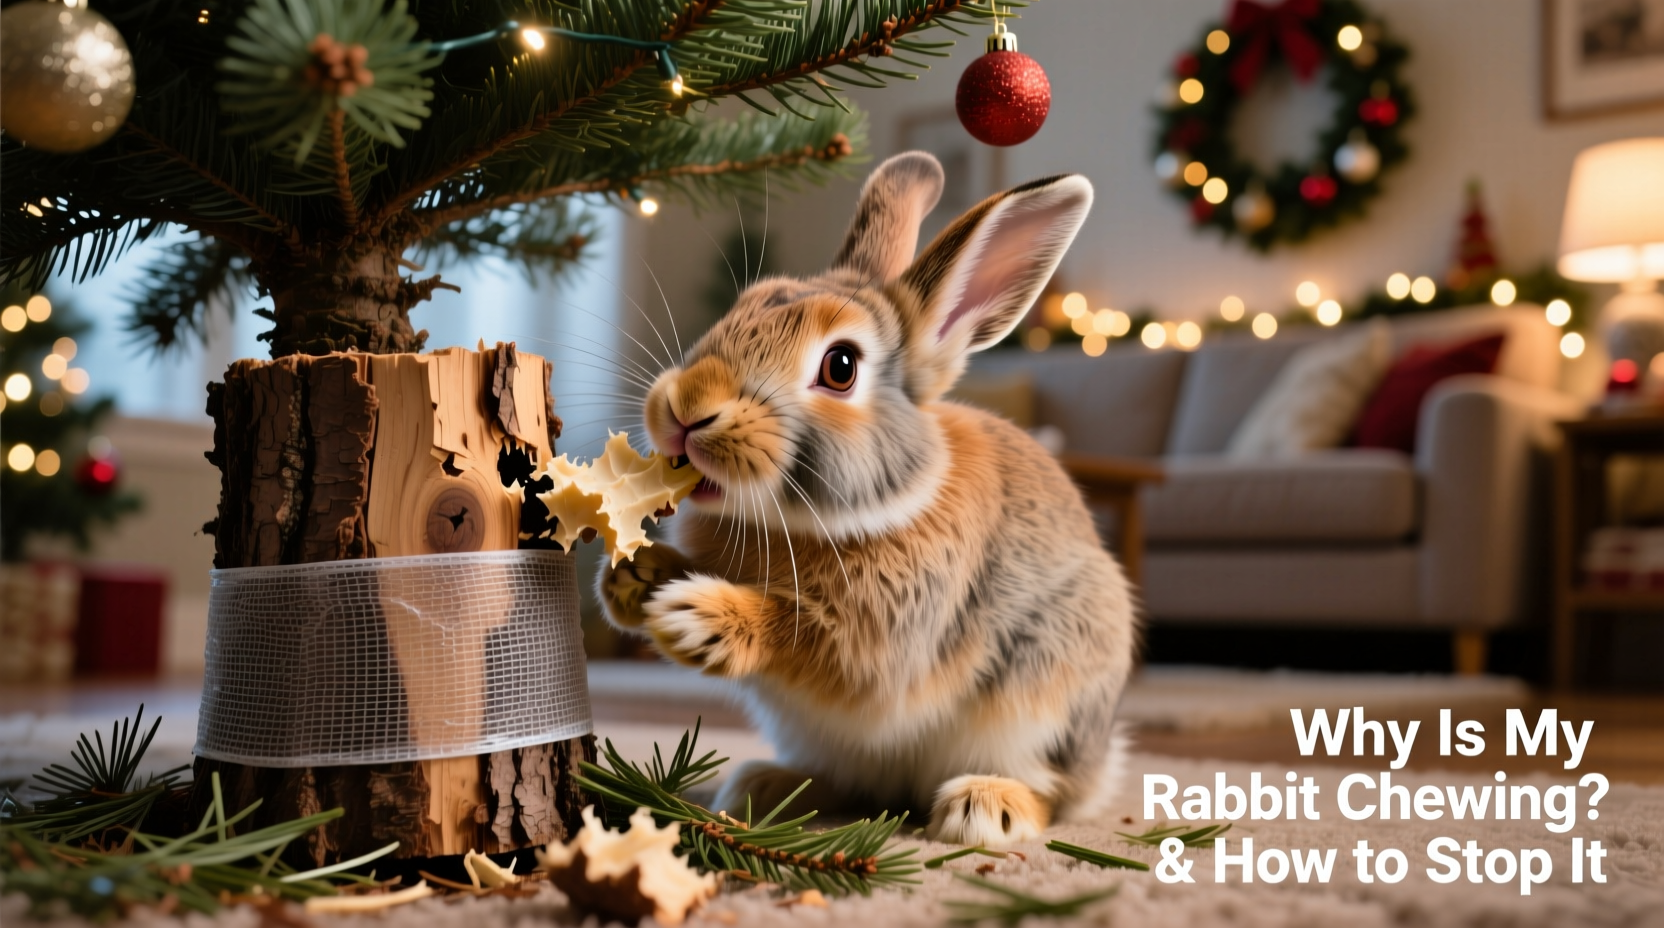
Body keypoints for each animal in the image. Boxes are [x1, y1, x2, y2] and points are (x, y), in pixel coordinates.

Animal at [599, 151, 1137, 847]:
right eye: (742, 307)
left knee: (1051, 794)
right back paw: (762, 784)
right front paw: (633, 579)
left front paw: (698, 618)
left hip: (1045, 699)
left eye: (841, 367)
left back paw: (984, 809)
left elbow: (804, 635)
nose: (686, 409)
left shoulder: (883, 636)